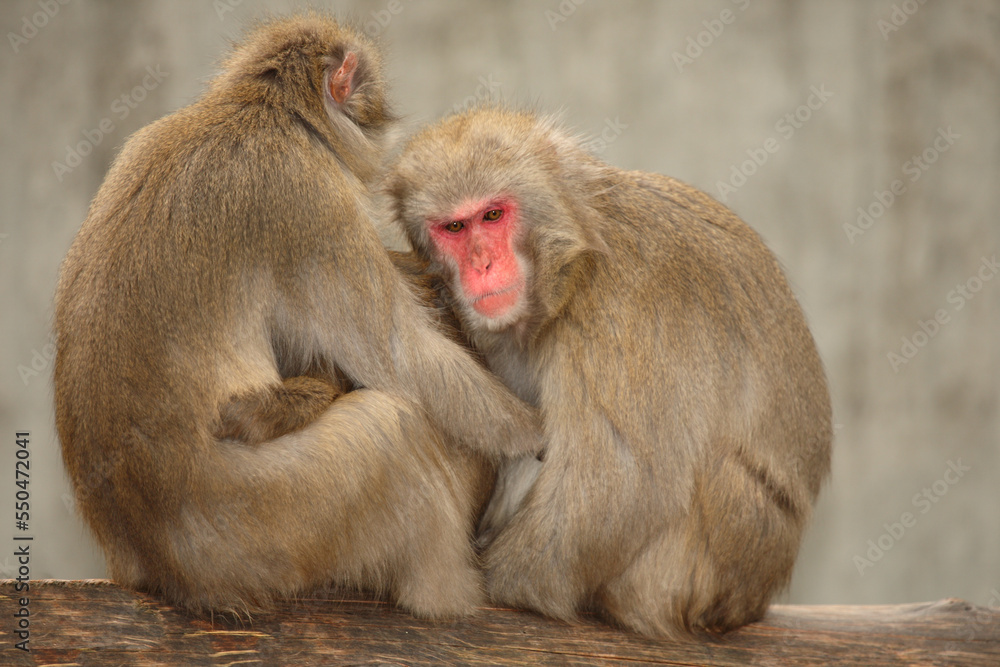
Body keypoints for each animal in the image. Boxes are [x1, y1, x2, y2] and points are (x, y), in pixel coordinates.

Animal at [53, 17, 542, 618]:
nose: (383, 117)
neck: (261, 112)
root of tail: (164, 569)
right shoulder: (311, 200)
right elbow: (403, 356)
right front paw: (535, 431)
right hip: (268, 522)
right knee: (391, 431)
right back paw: (448, 596)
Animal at [386, 105, 833, 637]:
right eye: (453, 227)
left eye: (493, 215)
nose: (483, 265)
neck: (572, 262)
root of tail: (752, 601)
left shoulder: (619, 308)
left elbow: (623, 485)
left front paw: (494, 582)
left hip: (701, 565)